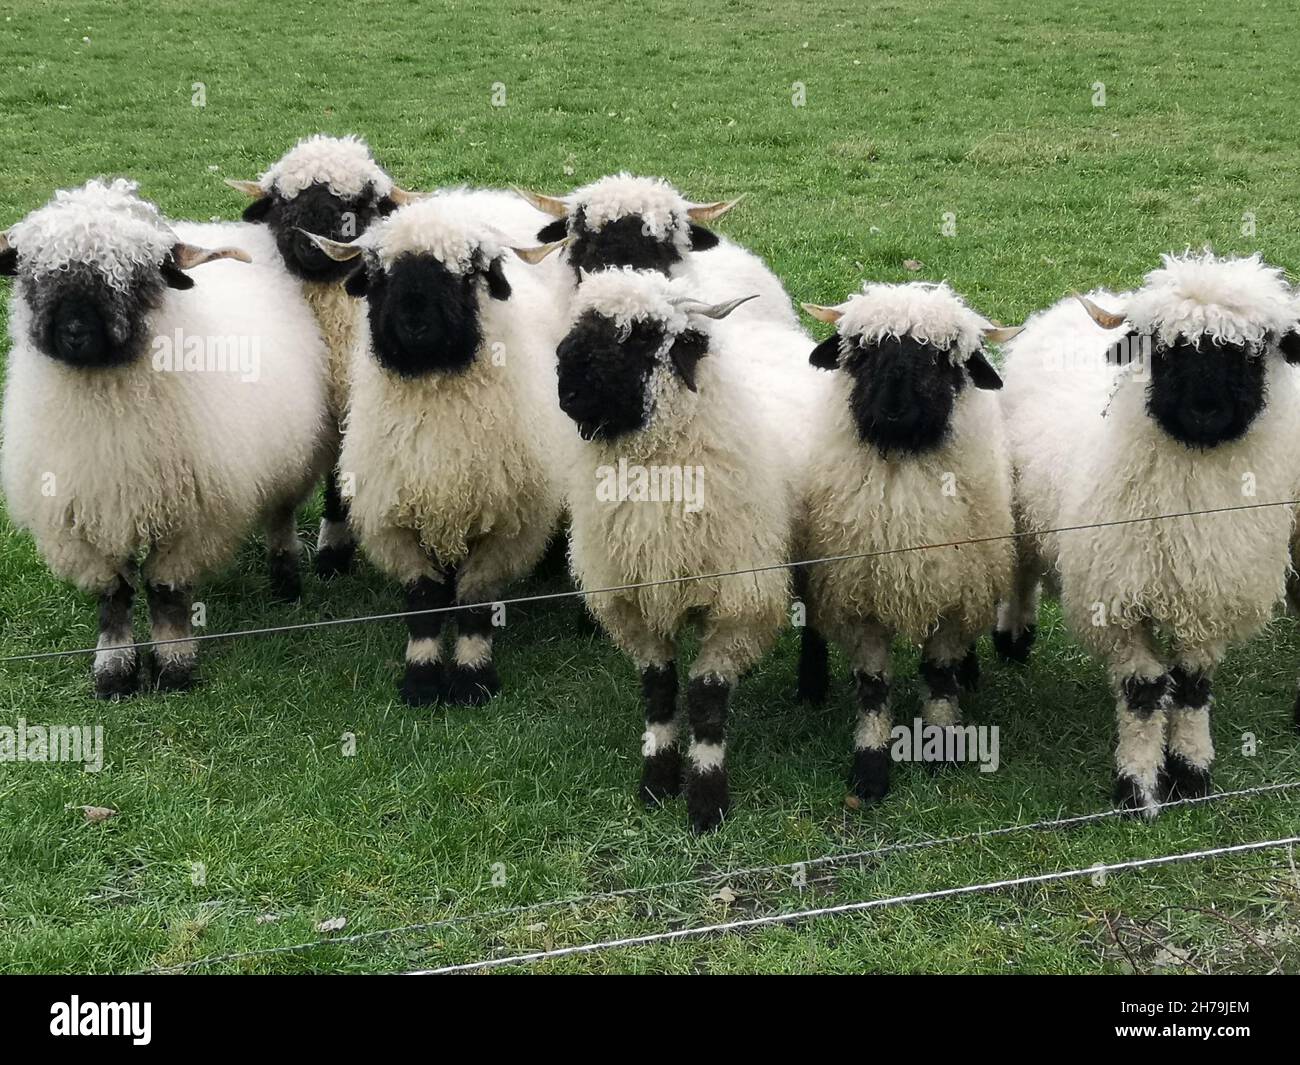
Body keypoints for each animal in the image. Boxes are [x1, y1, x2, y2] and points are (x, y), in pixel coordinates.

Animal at [0, 178, 330, 696]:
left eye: (137, 277)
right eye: (34, 274)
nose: (75, 332)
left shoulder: (190, 520)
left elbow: (165, 591)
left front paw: (174, 666)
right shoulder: (78, 520)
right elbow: (114, 595)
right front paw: (114, 671)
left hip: (294, 459)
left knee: (280, 519)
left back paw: (286, 582)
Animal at [298, 189, 571, 707]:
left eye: (467, 272)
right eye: (379, 273)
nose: (413, 321)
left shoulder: (502, 523)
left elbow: (475, 602)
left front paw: (471, 679)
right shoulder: (398, 518)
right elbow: (423, 602)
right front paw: (421, 679)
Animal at [554, 265, 829, 832]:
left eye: (640, 335)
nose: (566, 388)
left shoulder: (737, 601)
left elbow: (706, 700)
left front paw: (706, 801)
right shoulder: (634, 602)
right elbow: (660, 693)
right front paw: (657, 780)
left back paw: (813, 687)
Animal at [797, 282, 1019, 803]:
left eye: (942, 358)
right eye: (862, 353)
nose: (894, 407)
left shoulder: (955, 596)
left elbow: (938, 677)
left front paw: (941, 747)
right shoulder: (861, 599)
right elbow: (874, 686)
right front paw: (871, 769)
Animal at [994, 251, 1300, 818]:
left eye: (1251, 352)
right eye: (1163, 349)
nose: (1204, 411)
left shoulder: (1208, 601)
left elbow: (1192, 686)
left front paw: (1191, 772)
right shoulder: (1117, 605)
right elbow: (1144, 690)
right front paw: (1137, 786)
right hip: (1020, 500)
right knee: (1022, 570)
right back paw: (1014, 636)